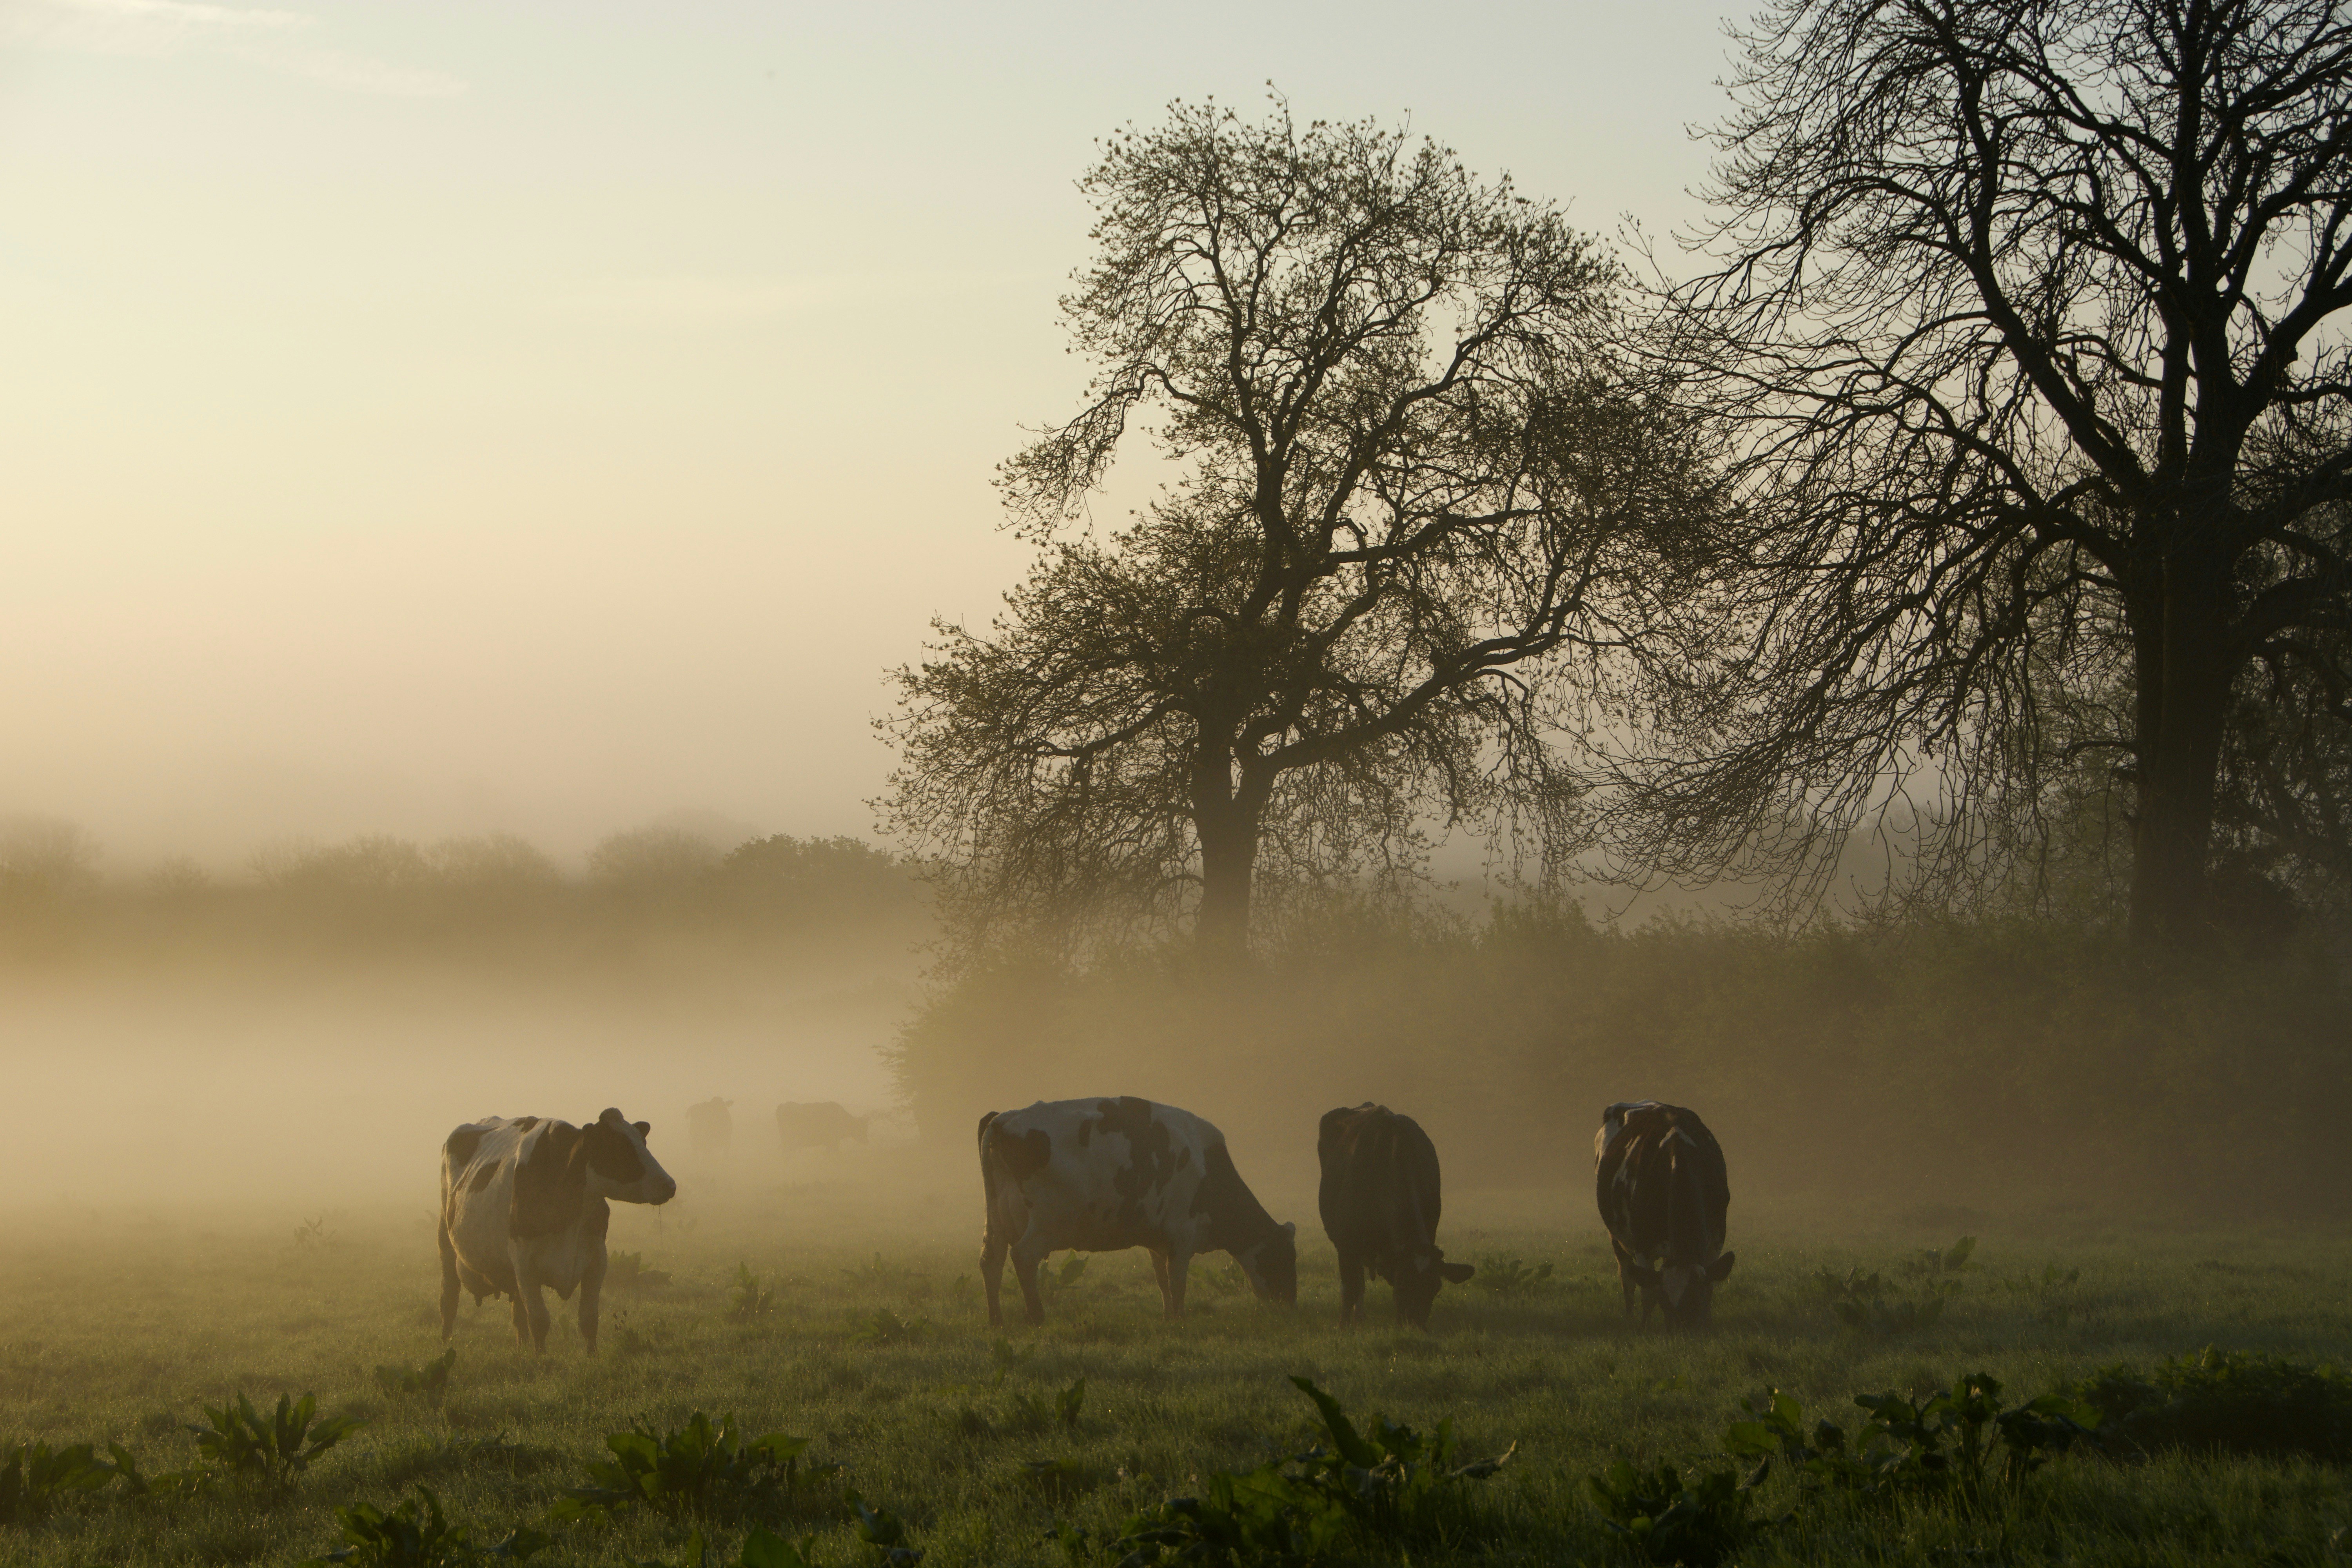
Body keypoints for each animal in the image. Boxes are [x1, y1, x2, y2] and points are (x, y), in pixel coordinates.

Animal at [438, 1108, 676, 1354]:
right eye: (618, 1146)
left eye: (643, 1142)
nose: (669, 1185)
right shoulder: (524, 1264)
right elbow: (540, 1320)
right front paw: (541, 1358)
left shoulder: (597, 1259)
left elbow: (589, 1319)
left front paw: (592, 1356)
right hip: (446, 1240)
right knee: (449, 1297)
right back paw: (446, 1342)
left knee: (518, 1310)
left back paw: (522, 1344)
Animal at [775, 1100, 871, 1154]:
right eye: (864, 1128)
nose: (867, 1142)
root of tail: (783, 1105)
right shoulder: (835, 1141)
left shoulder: (830, 1143)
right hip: (791, 1141)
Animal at [978, 1096, 1296, 1326]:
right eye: (1286, 1257)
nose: (1291, 1304)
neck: (1206, 1167)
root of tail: (1002, 1118)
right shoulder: (1182, 1234)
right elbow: (1178, 1281)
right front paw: (1180, 1319)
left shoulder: (1159, 1238)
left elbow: (1162, 1280)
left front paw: (1169, 1316)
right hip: (1049, 1222)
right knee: (1023, 1256)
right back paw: (1037, 1317)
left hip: (996, 1221)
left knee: (990, 1261)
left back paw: (997, 1321)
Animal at [1317, 1103, 1473, 1328]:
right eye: (1401, 1286)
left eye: (1435, 1288)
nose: (1415, 1326)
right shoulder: (1347, 1244)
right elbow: (1350, 1288)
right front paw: (1344, 1326)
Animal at [1594, 1100, 1734, 1328]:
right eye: (1666, 1304)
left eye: (1695, 1299)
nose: (1683, 1331)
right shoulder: (1643, 1244)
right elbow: (1649, 1294)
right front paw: (1645, 1327)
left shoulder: (1716, 1238)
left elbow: (1711, 1286)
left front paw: (1707, 1322)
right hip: (1616, 1236)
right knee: (1627, 1279)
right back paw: (1630, 1318)